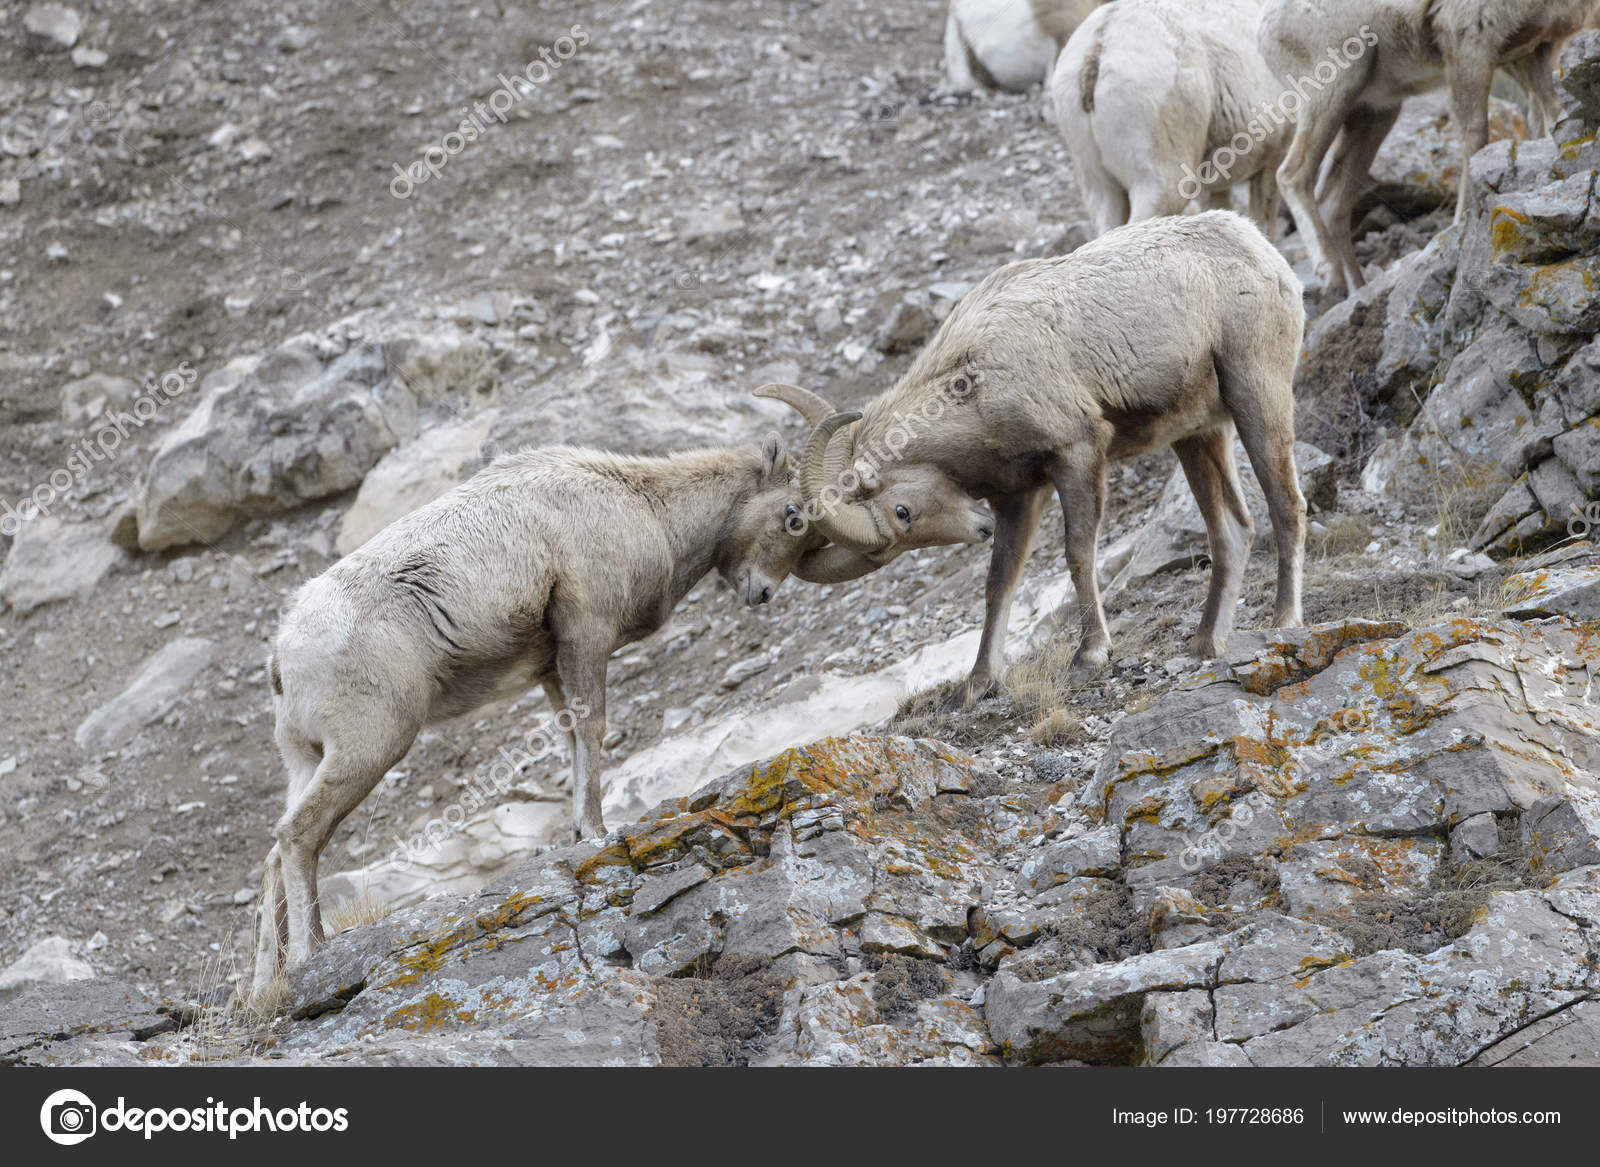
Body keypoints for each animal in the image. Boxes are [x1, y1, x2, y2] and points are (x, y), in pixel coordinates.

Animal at [249, 431, 992, 1001]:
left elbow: (576, 743)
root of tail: (286, 652)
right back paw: (312, 959)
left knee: (275, 852)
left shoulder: (554, 669)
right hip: (370, 746)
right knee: (298, 835)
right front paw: (595, 831)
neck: (644, 504)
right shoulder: (586, 634)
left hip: (307, 759)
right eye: (791, 515)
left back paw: (265, 986)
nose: (760, 593)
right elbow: (595, 732)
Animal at [763, 212, 1307, 707]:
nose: (979, 528)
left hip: (1257, 398)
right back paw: (1204, 644)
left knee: (1287, 507)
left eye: (902, 512)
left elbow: (1077, 554)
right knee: (1233, 530)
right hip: (1198, 436)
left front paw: (1089, 657)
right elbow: (998, 583)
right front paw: (976, 685)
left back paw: (1283, 622)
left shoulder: (1077, 456)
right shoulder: (1018, 497)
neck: (972, 383)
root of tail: (1259, 247)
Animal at [1261, 0, 1600, 295]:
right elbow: (1475, 137)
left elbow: (1551, 115)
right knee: (1291, 174)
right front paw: (1461, 221)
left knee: (1332, 202)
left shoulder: (1535, 52)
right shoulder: (1469, 47)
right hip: (1335, 86)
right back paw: (1330, 274)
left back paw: (1356, 289)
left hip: (1373, 114)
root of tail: (1265, 29)